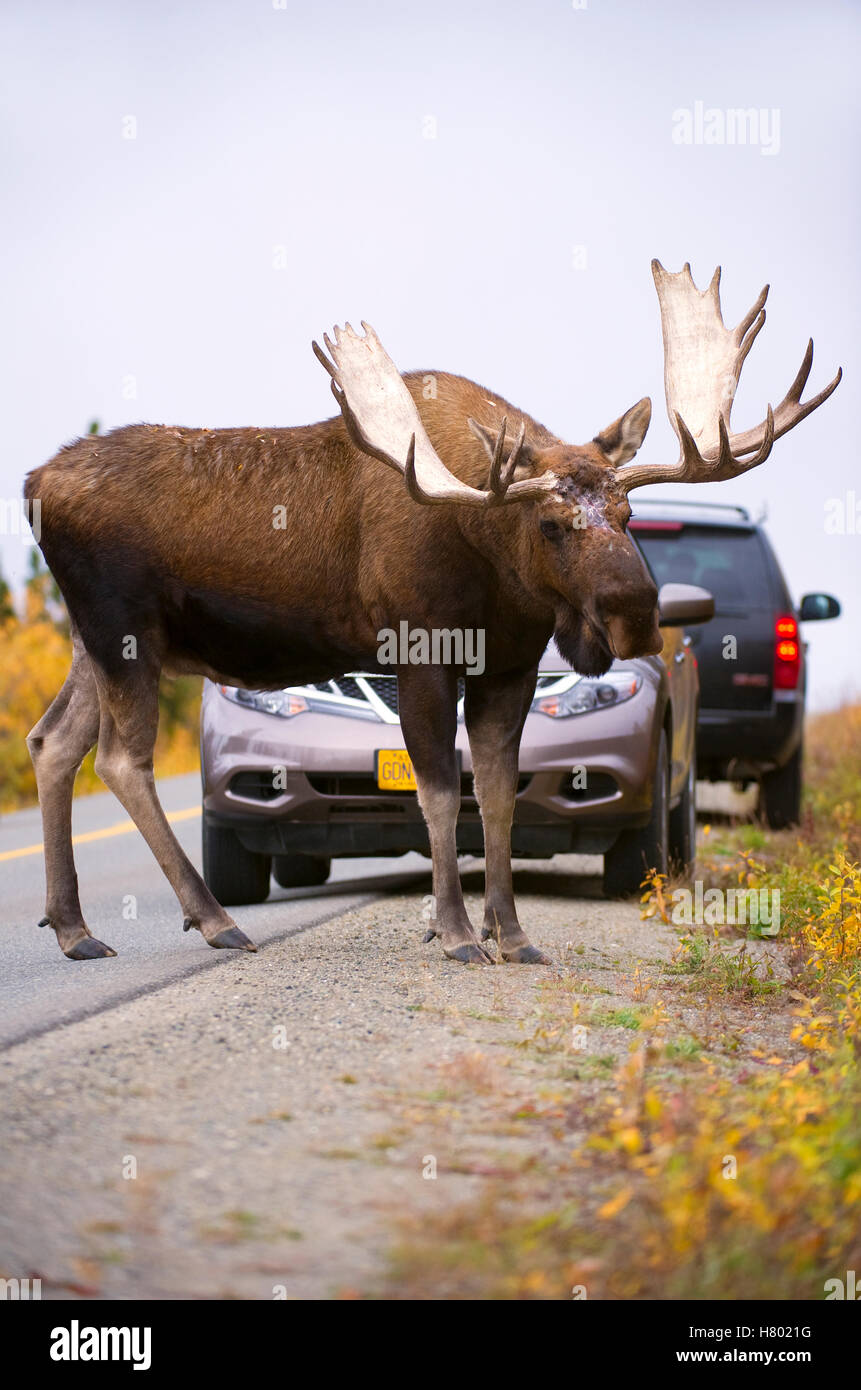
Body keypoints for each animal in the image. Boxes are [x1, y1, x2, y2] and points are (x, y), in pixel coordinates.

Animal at [23, 259, 841, 966]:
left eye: (627, 513)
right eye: (551, 524)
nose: (635, 613)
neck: (495, 569)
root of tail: (35, 482)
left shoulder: (507, 667)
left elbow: (497, 798)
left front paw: (512, 932)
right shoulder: (420, 650)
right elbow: (441, 793)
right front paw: (455, 932)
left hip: (95, 641)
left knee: (52, 741)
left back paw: (74, 928)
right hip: (125, 628)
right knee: (121, 761)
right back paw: (214, 918)